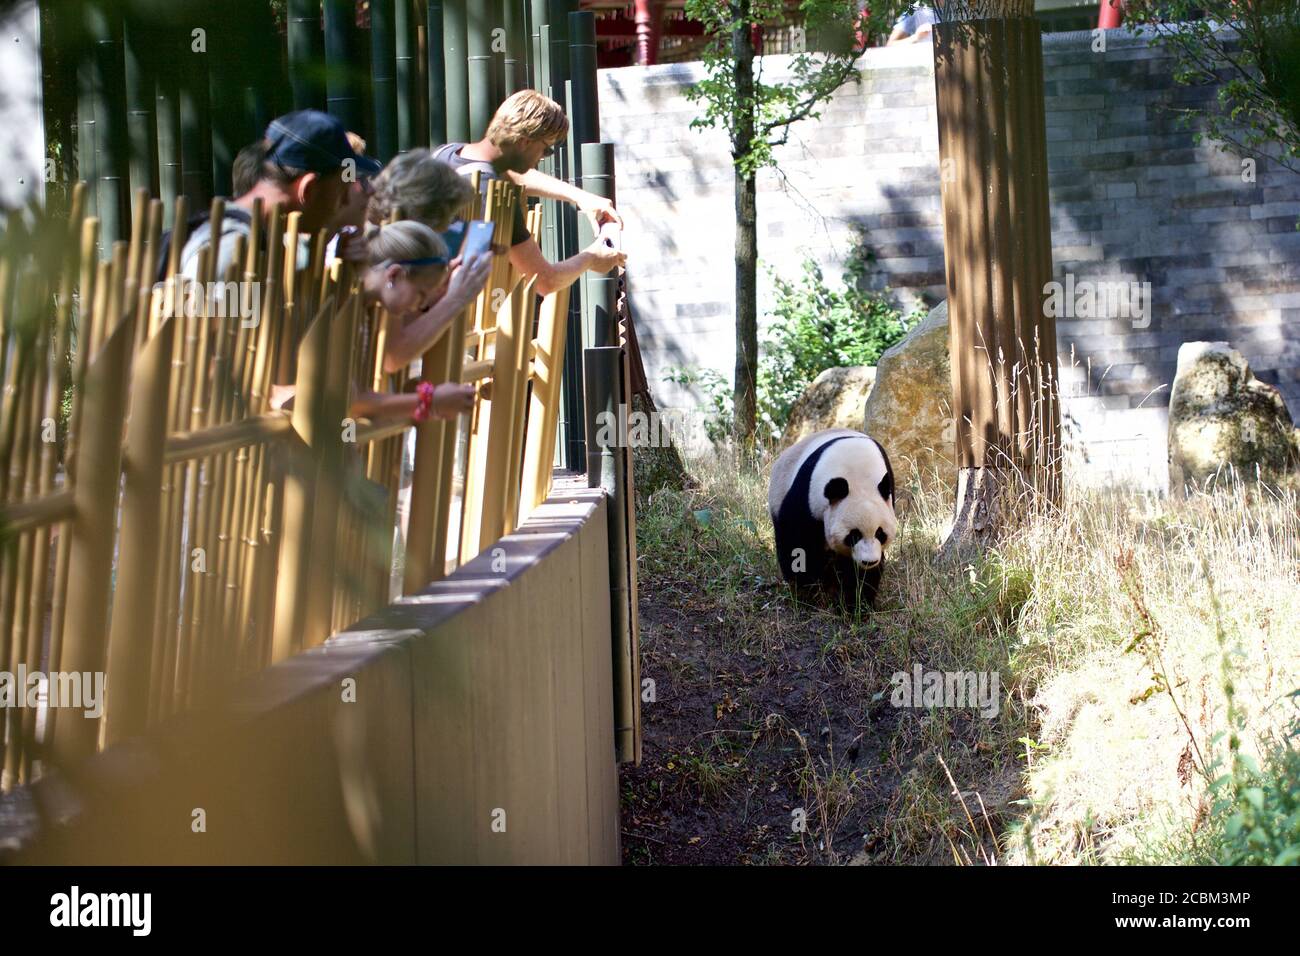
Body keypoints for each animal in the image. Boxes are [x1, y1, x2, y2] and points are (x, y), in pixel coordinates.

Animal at [767, 428, 897, 611]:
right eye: (854, 535)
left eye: (880, 533)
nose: (868, 561)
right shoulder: (808, 493)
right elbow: (798, 542)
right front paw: (807, 592)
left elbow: (857, 572)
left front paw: (857, 603)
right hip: (778, 492)